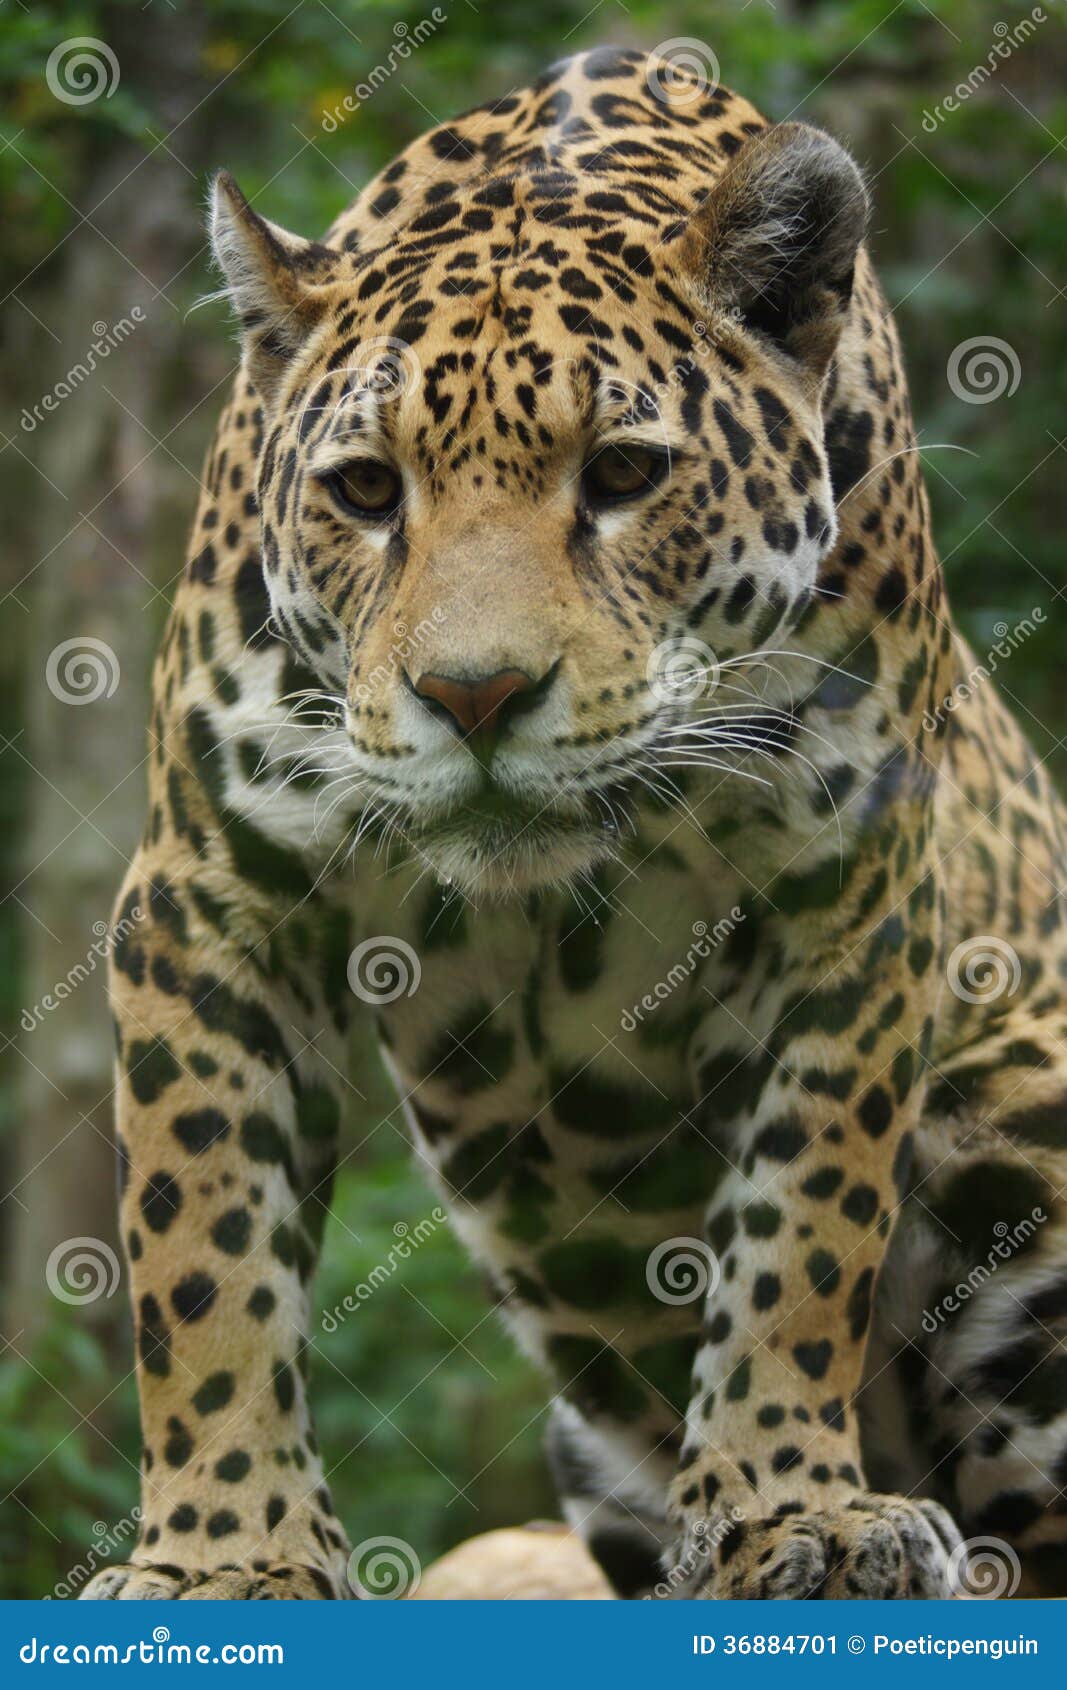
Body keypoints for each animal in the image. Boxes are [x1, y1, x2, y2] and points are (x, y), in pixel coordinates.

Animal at [80, 47, 1067, 1602]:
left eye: (620, 475)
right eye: (367, 489)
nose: (473, 696)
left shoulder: (851, 898)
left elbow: (804, 1230)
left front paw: (792, 1507)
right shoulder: (210, 900)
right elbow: (203, 1257)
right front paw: (225, 1554)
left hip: (1018, 1101)